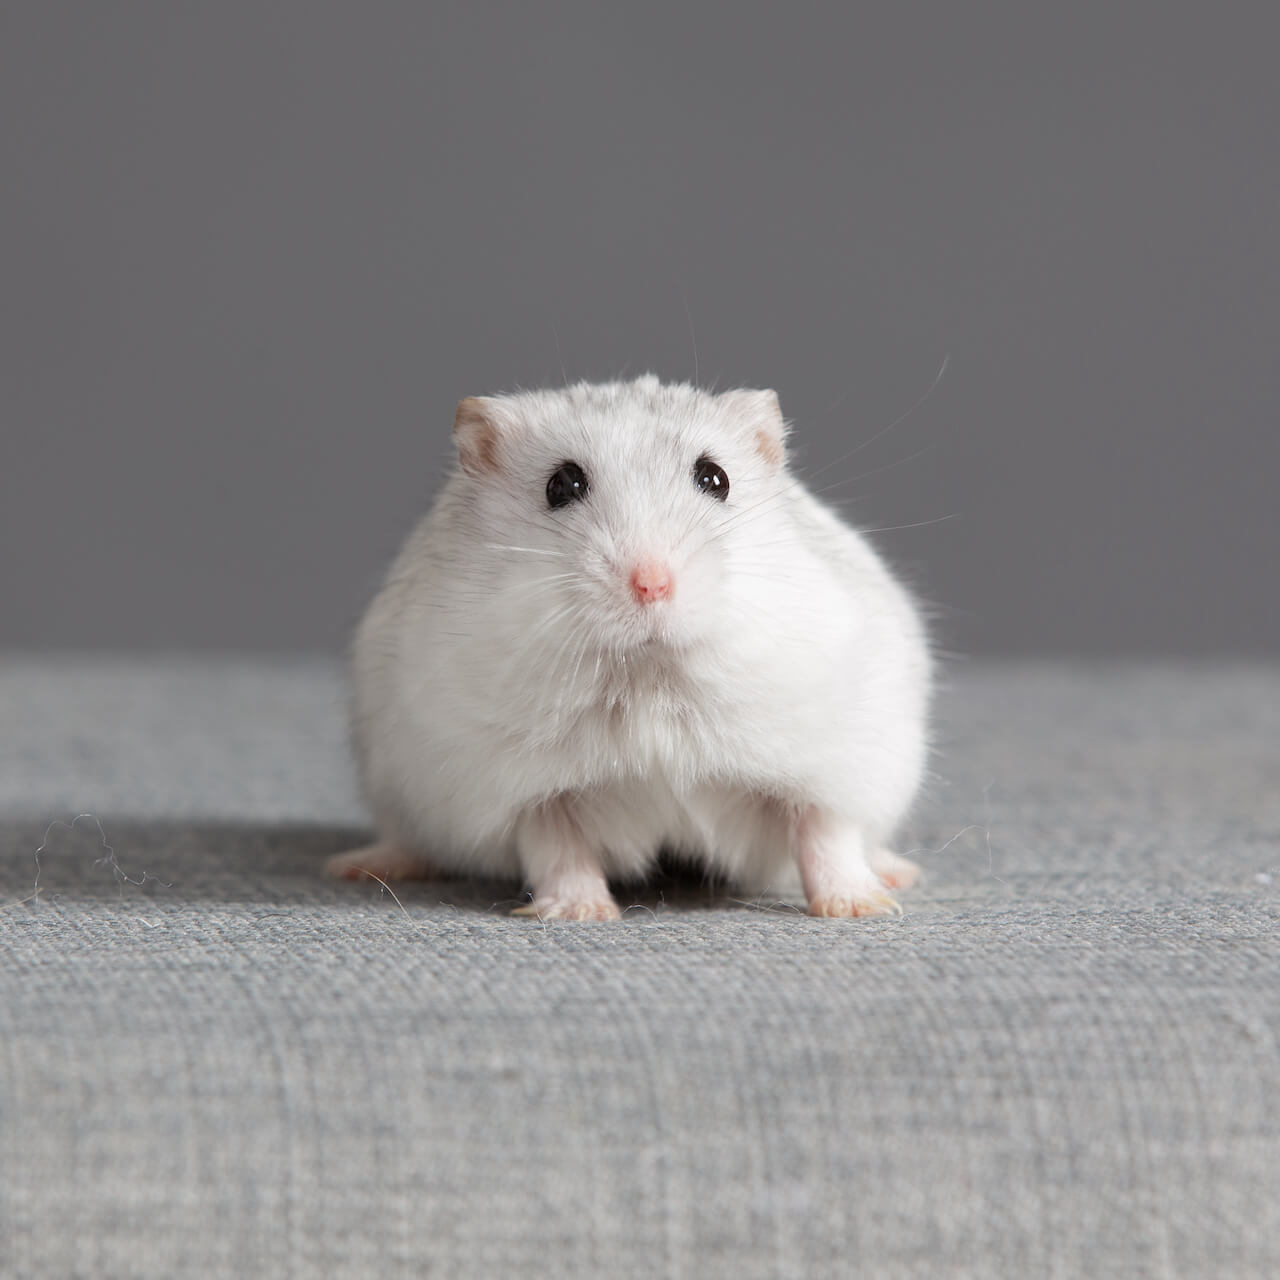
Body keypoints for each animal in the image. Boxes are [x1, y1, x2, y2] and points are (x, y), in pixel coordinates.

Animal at [328, 376, 931, 920]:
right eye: (561, 485)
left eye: (715, 478)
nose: (651, 585)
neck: (649, 669)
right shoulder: (522, 787)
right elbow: (557, 848)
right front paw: (580, 914)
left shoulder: (832, 762)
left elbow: (826, 835)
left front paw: (859, 908)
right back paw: (360, 865)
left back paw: (898, 874)